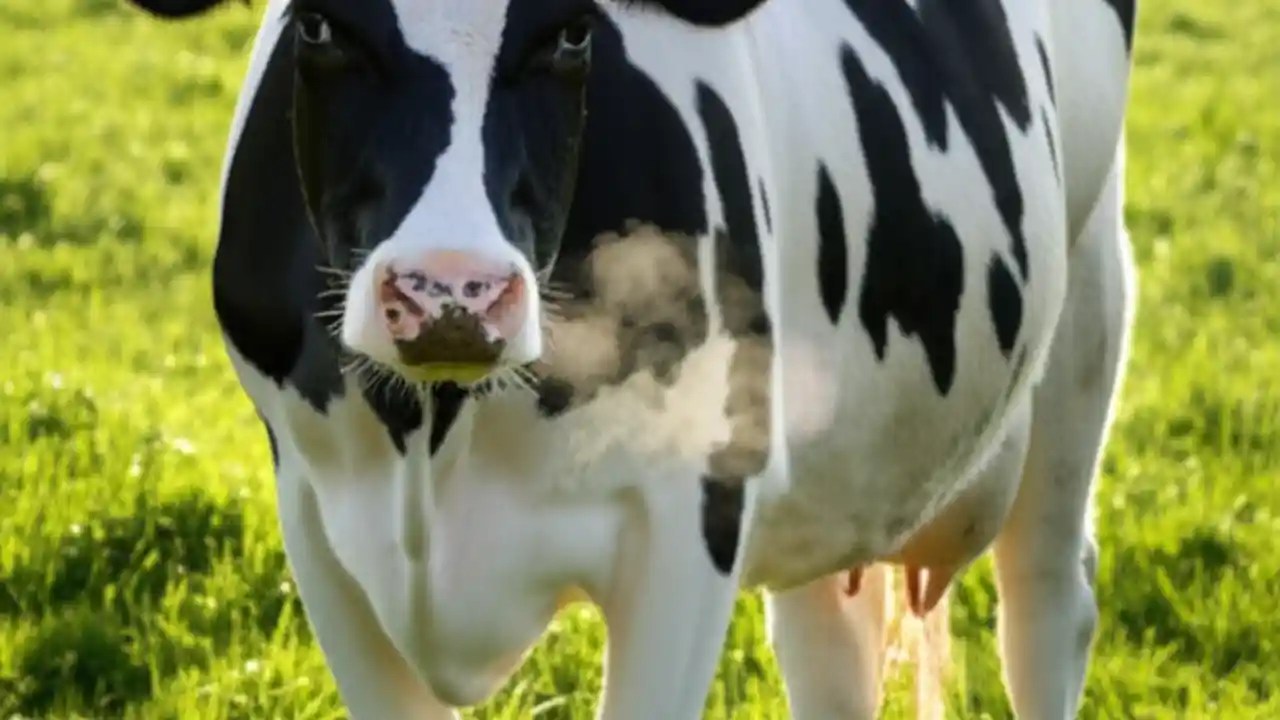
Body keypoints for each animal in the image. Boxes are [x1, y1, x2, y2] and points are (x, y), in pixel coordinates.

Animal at [123, 0, 1138, 717]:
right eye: (320, 24)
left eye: (572, 32)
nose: (451, 293)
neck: (435, 442)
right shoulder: (319, 516)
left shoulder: (688, 517)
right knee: (830, 647)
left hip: (1088, 286)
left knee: (1048, 601)